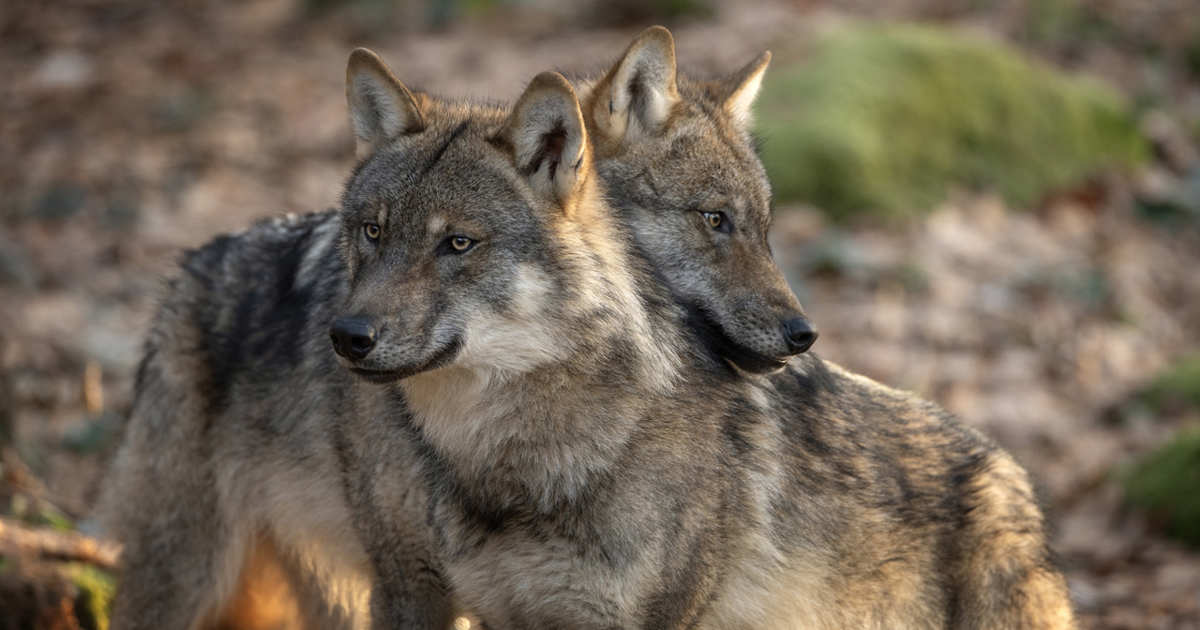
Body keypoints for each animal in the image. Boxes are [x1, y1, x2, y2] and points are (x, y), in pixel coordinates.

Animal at [98, 27, 817, 629]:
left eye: (762, 227)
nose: (804, 335)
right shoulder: (409, 577)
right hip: (185, 575)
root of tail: (189, 265)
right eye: (715, 219)